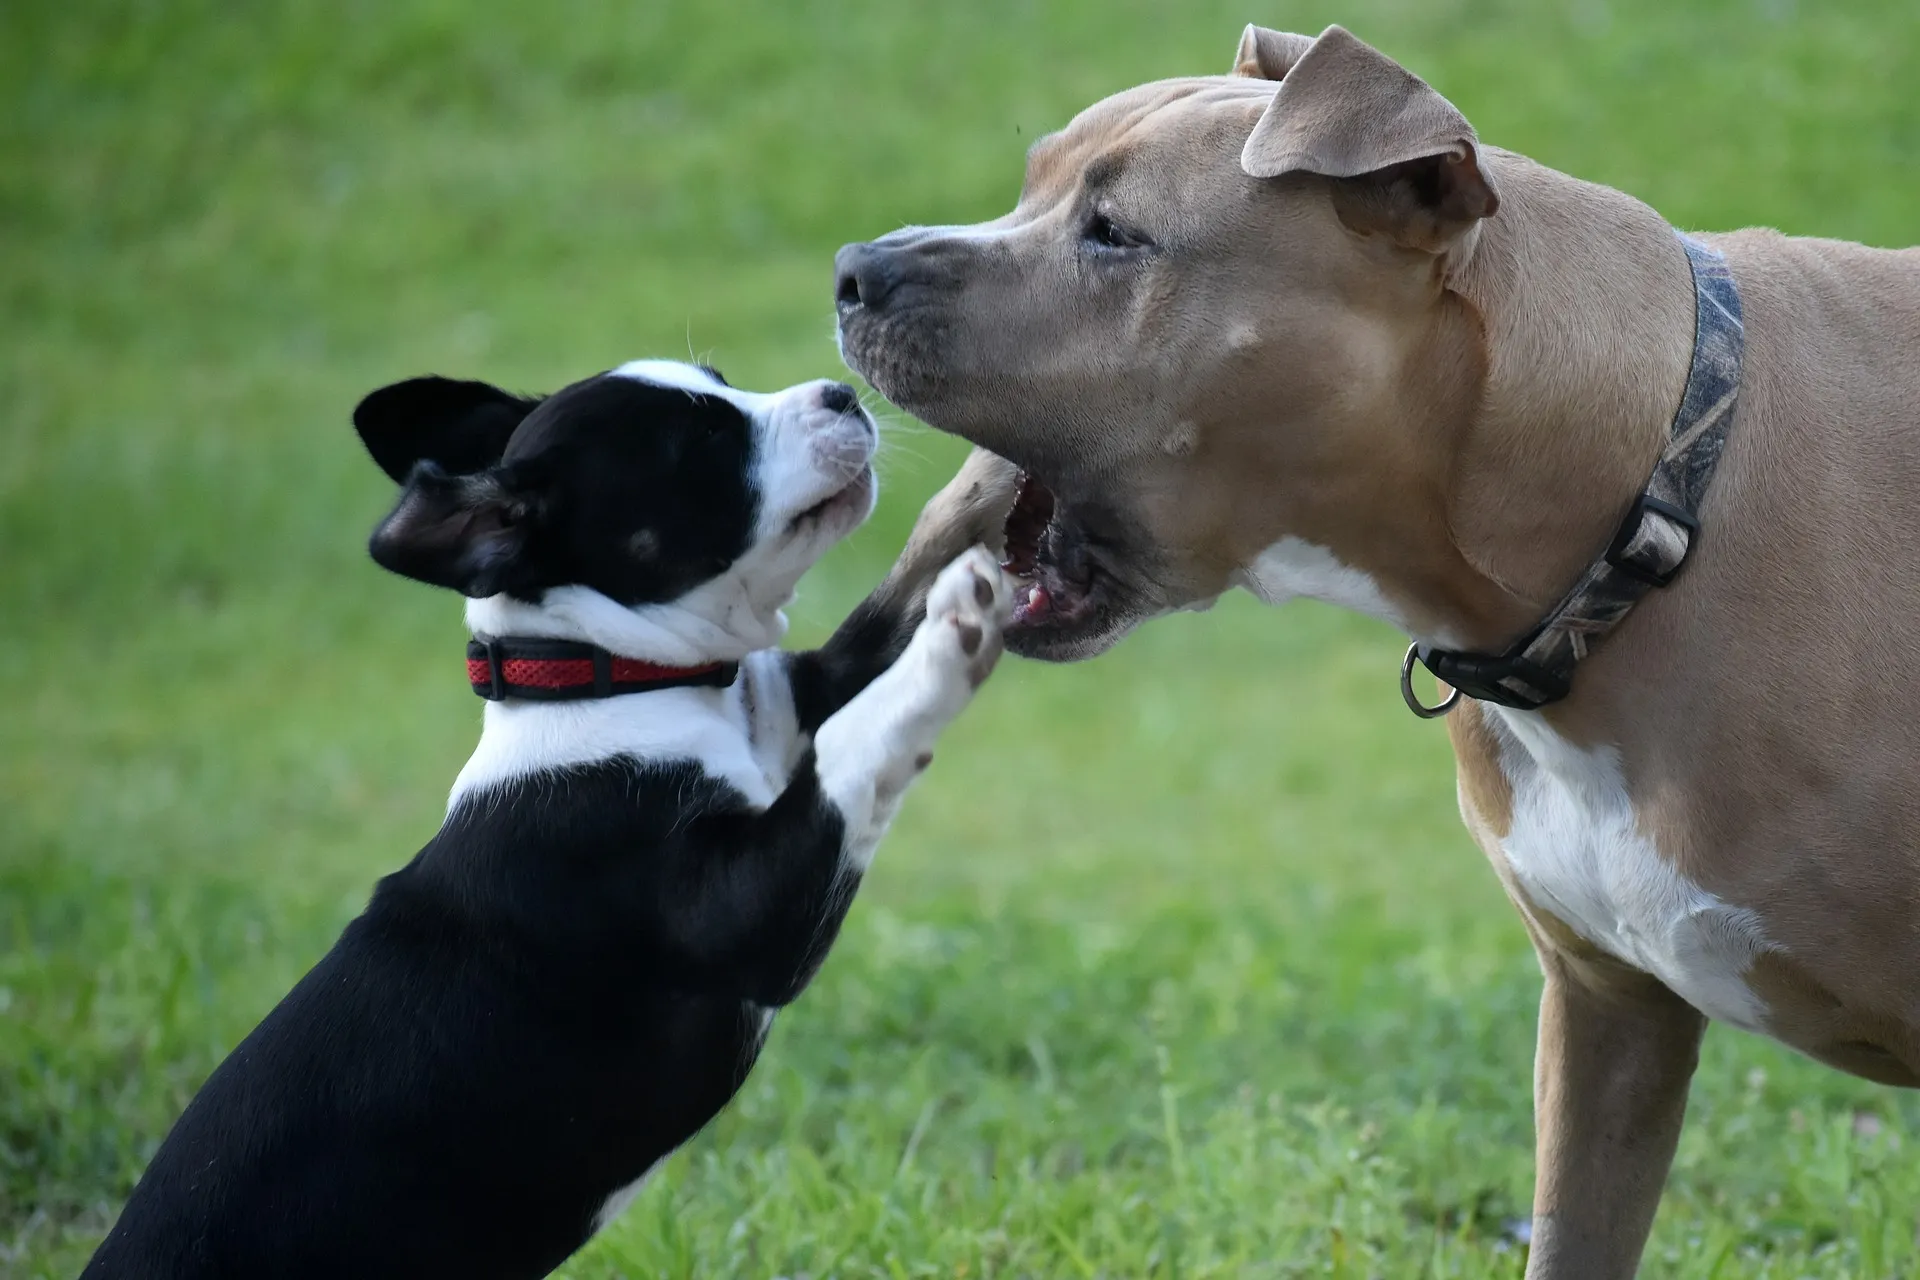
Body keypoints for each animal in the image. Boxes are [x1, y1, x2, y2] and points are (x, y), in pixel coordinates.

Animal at [82, 360, 1013, 1280]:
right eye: (704, 437)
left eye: (720, 381)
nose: (841, 393)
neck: (607, 678)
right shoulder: (748, 916)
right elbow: (863, 739)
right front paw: (954, 632)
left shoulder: (790, 707)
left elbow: (882, 613)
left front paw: (981, 488)